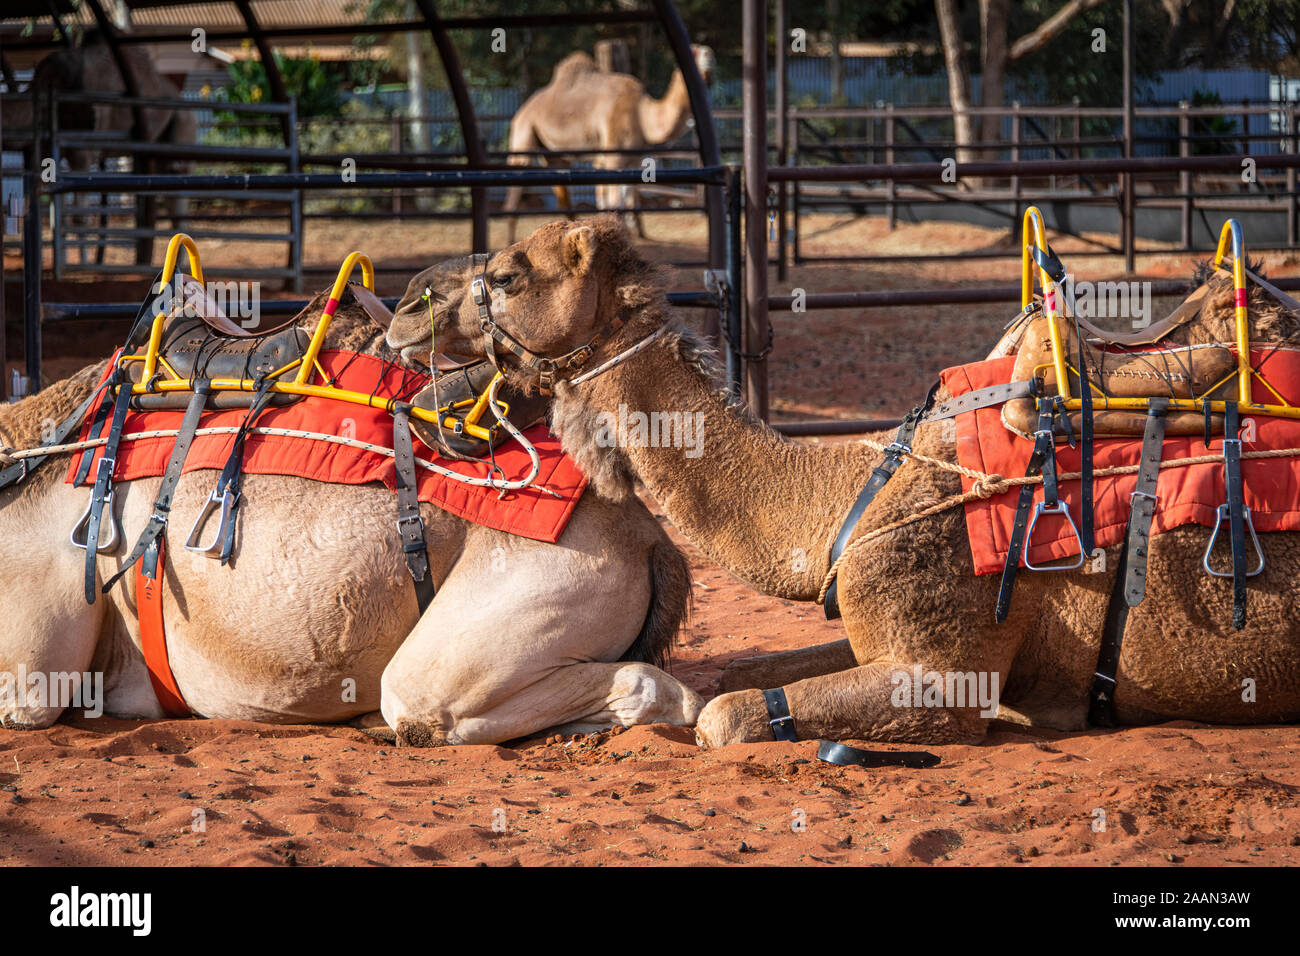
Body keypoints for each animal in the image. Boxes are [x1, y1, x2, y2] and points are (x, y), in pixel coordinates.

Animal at [394, 215, 1300, 749]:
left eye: (508, 276)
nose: (406, 307)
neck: (853, 492)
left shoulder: (943, 674)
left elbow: (724, 717)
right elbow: (741, 678)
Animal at [501, 45, 715, 242]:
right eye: (694, 52)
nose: (709, 54)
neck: (642, 114)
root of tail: (523, 109)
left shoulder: (633, 159)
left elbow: (627, 197)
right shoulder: (614, 154)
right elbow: (614, 201)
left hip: (554, 154)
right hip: (524, 132)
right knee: (516, 185)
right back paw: (510, 240)